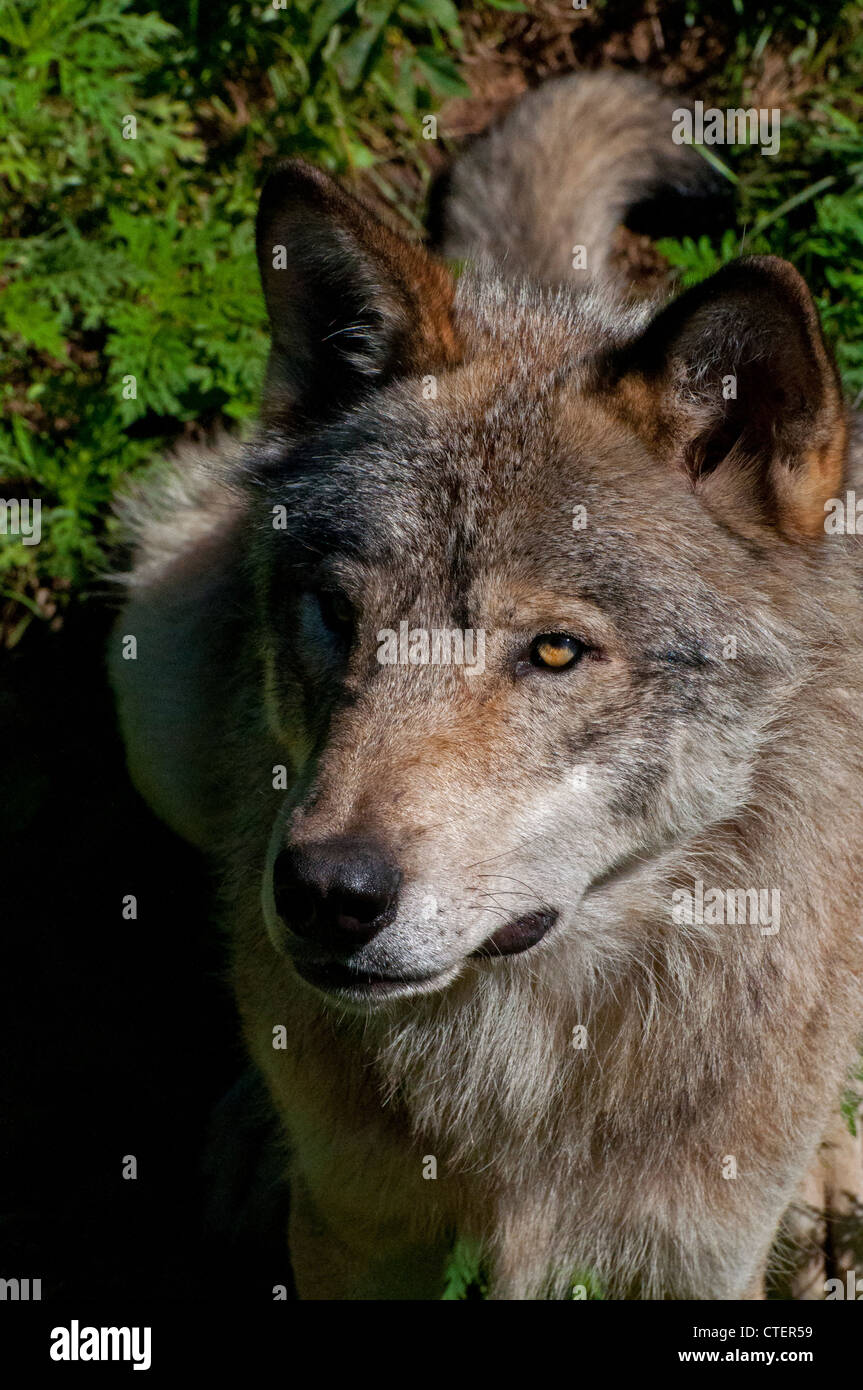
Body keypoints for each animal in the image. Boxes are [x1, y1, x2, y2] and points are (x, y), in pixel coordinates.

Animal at [111, 70, 863, 1299]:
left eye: (552, 652)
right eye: (338, 614)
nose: (326, 893)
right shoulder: (361, 1237)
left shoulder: (691, 1264)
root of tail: (551, 297)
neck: (527, 1060)